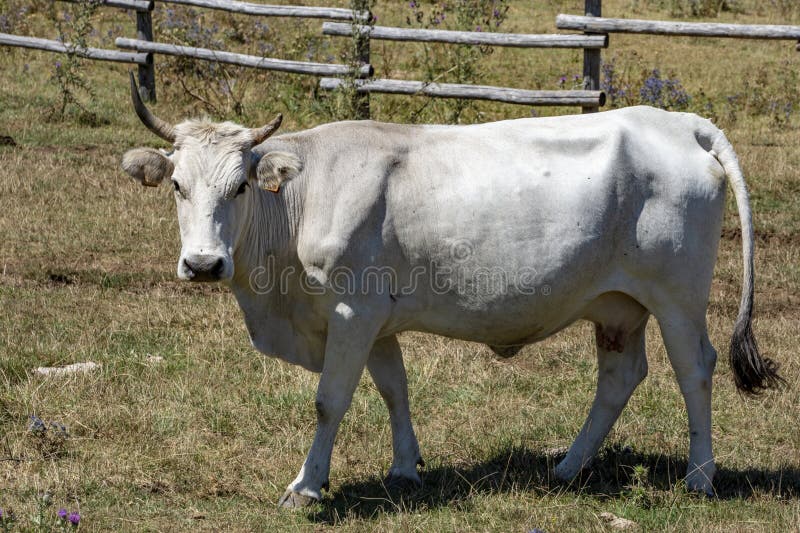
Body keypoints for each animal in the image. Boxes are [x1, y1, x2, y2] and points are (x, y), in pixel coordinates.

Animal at [120, 73, 782, 508]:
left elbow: (330, 400)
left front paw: (306, 485)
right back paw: (567, 468)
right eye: (176, 184)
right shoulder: (375, 318)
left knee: (695, 369)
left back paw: (700, 477)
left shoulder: (351, 310)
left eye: (239, 187)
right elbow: (394, 389)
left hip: (677, 298)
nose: (204, 263)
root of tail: (682, 122)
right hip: (618, 306)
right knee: (620, 377)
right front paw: (404, 468)